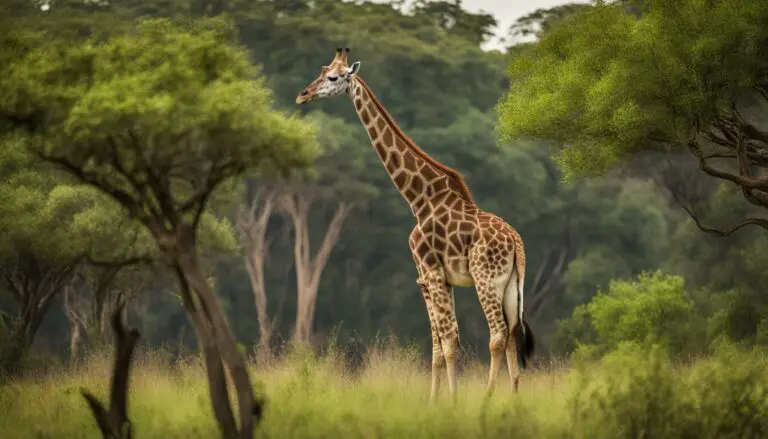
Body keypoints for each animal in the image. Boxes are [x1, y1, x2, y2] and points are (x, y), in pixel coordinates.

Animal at [296, 48, 534, 400]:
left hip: (486, 279)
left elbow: (449, 343)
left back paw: (487, 398)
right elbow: (437, 346)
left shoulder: (432, 273)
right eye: (322, 69)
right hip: (511, 285)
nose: (303, 94)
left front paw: (452, 401)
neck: (418, 198)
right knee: (512, 335)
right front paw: (434, 401)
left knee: (497, 336)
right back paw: (514, 399)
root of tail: (516, 243)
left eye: (333, 77)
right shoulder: (427, 278)